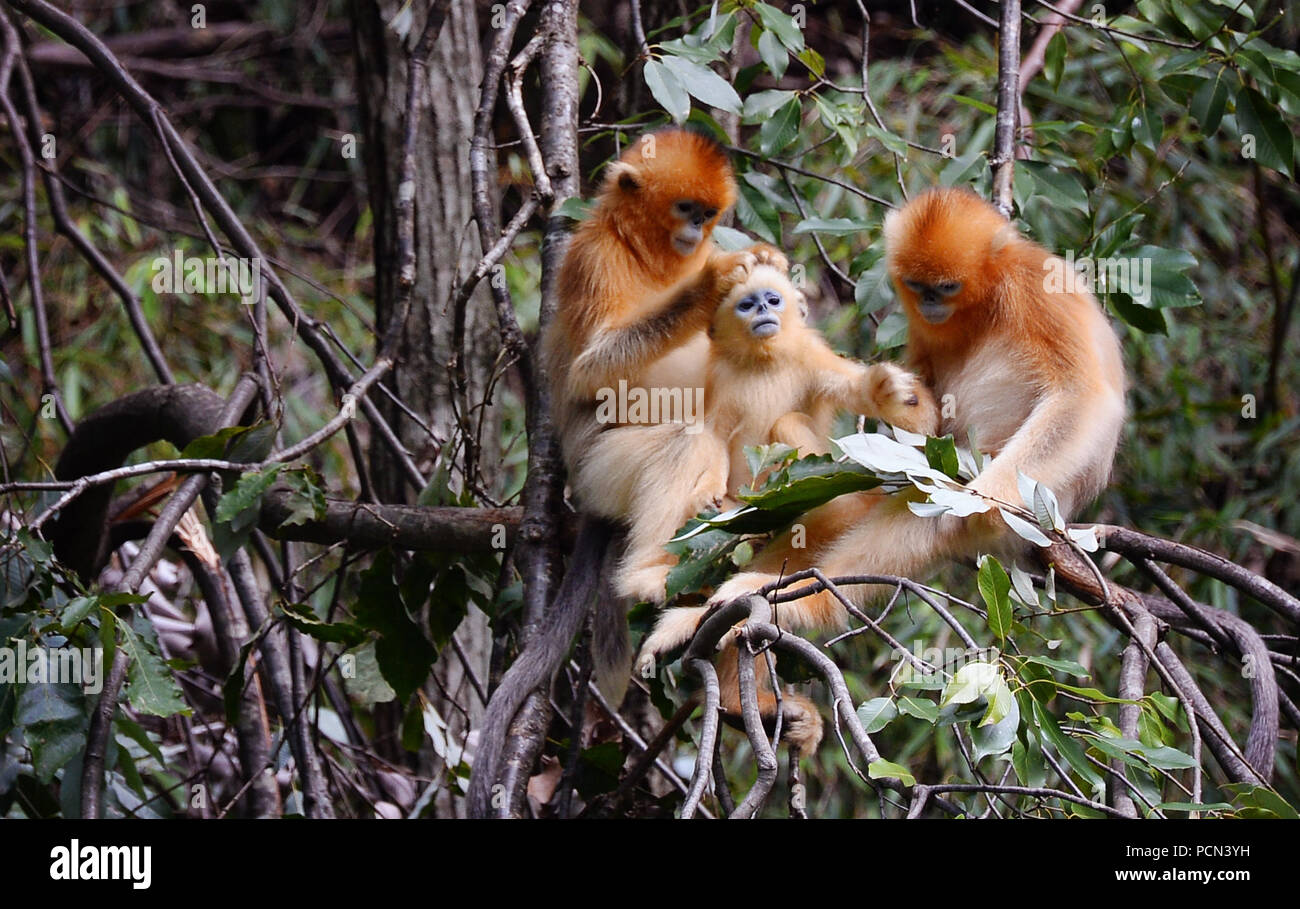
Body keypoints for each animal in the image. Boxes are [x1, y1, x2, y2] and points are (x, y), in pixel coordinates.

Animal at [634, 186, 1127, 756]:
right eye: (918, 287)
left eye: (947, 286)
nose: (932, 304)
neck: (986, 298)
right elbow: (925, 407)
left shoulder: (1042, 290)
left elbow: (1078, 397)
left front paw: (979, 493)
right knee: (835, 505)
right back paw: (739, 620)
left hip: (1027, 514)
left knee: (928, 515)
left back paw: (794, 610)